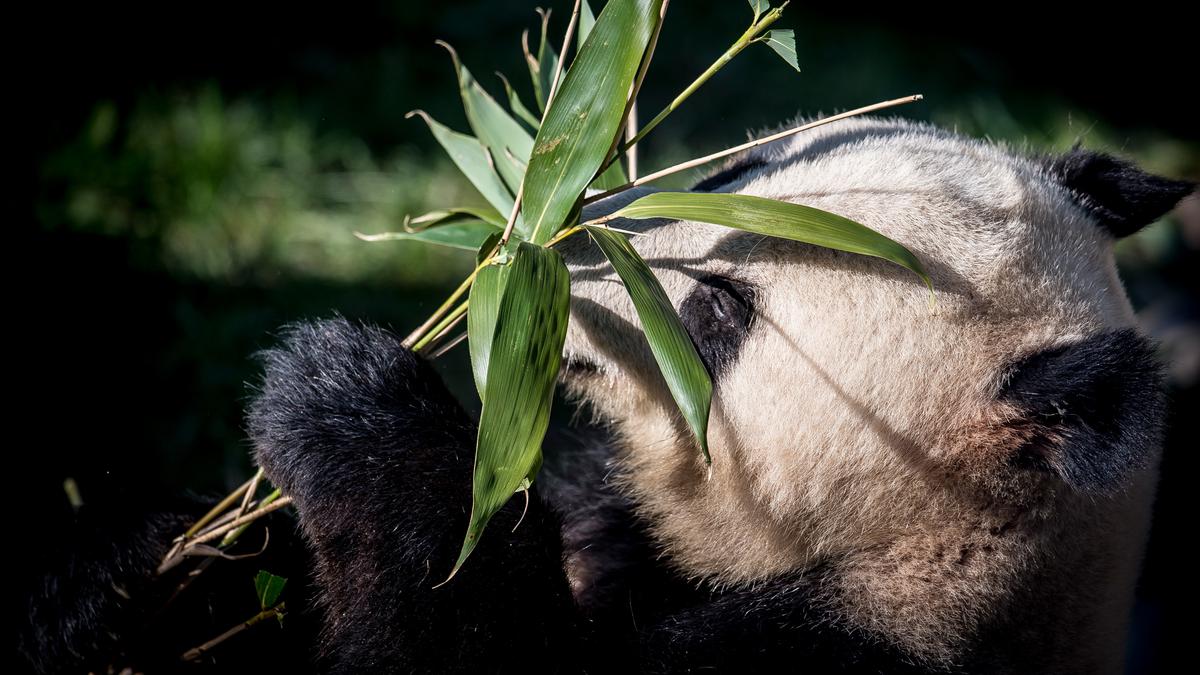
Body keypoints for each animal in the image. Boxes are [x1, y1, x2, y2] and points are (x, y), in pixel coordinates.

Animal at [19, 116, 1195, 674]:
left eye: (719, 312)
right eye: (731, 174)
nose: (559, 251)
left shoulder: (848, 653)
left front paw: (345, 402)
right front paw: (127, 571)